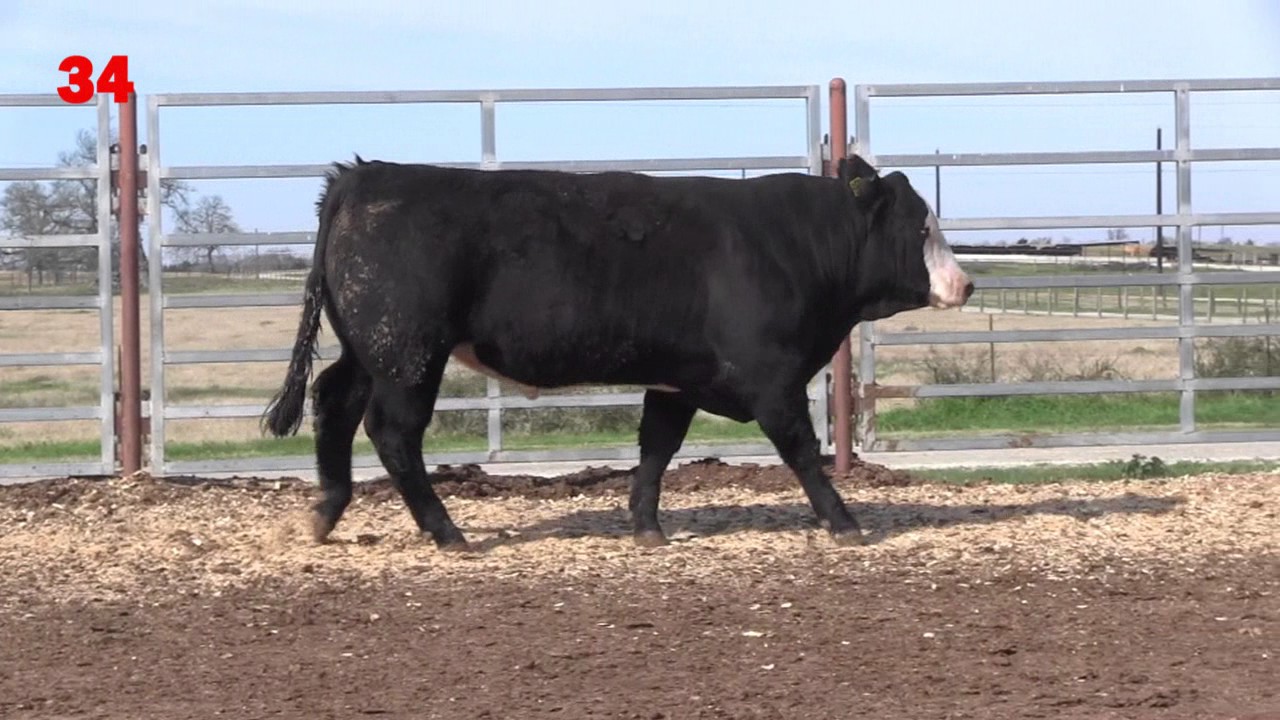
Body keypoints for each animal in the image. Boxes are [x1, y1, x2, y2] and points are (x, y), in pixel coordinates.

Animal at [262, 153, 973, 551]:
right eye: (921, 225)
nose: (966, 283)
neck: (793, 242)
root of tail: (364, 175)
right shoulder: (772, 378)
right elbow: (801, 449)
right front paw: (843, 522)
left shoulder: (678, 379)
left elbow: (656, 449)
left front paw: (647, 527)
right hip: (409, 355)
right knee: (393, 432)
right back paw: (447, 533)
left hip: (369, 350)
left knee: (334, 402)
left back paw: (326, 511)